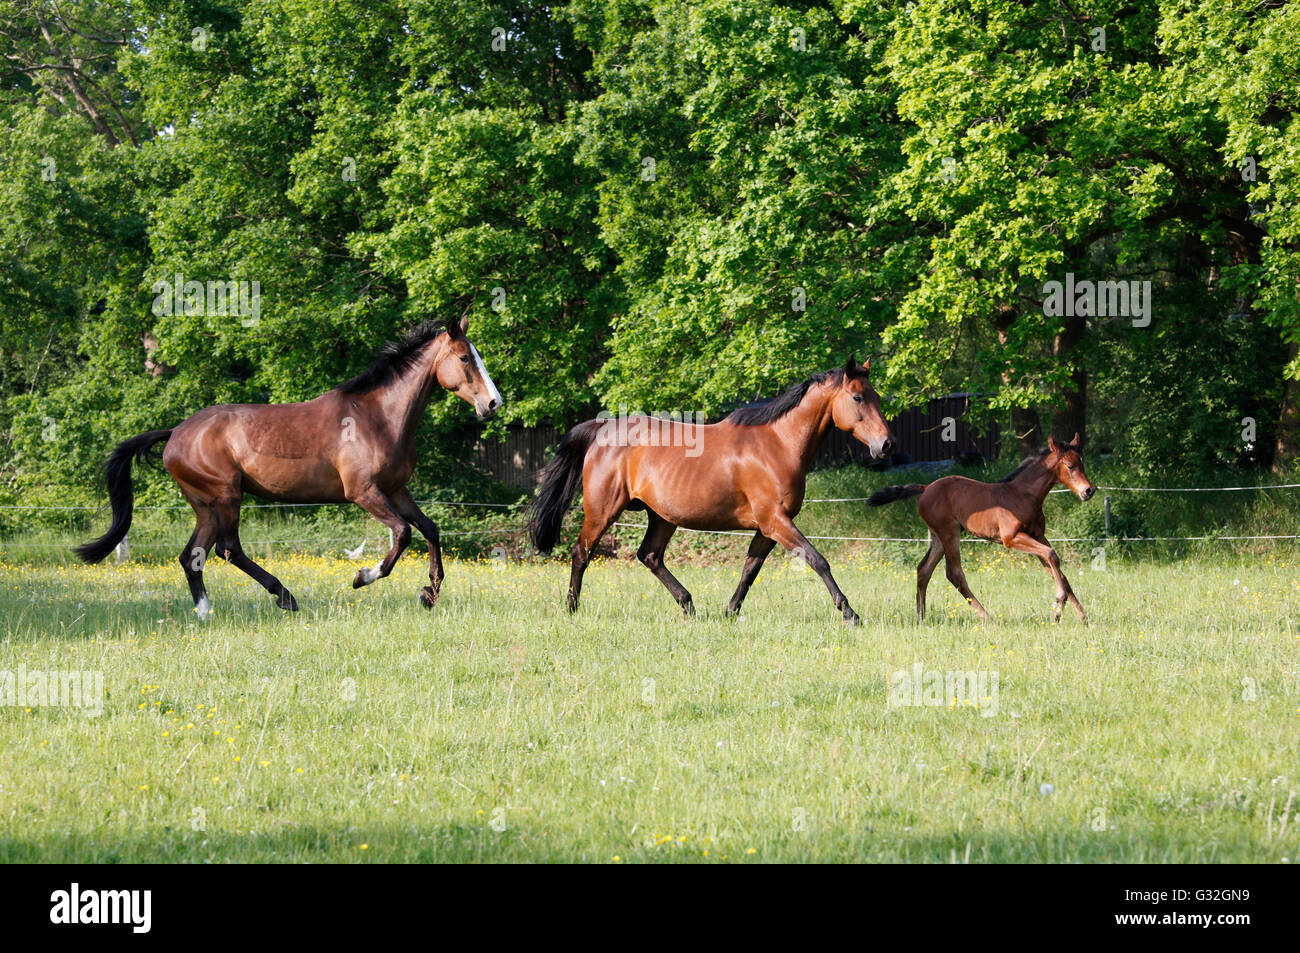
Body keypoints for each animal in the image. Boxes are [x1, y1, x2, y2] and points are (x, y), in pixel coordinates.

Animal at [74, 316, 502, 616]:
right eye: (465, 358)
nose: (493, 404)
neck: (378, 417)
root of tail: (177, 431)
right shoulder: (364, 492)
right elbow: (403, 533)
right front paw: (362, 577)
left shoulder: (397, 490)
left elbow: (429, 528)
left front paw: (429, 593)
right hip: (226, 496)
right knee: (228, 550)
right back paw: (285, 597)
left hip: (206, 504)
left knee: (192, 556)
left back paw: (205, 612)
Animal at [527, 358, 895, 625]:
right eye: (858, 397)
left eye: (877, 397)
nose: (886, 445)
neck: (777, 443)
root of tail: (602, 430)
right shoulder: (775, 521)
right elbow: (818, 560)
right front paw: (850, 614)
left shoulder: (768, 527)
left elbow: (750, 570)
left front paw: (730, 612)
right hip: (603, 511)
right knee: (581, 552)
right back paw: (572, 608)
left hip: (662, 517)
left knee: (649, 556)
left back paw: (688, 606)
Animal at [867, 435, 1095, 623]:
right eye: (1070, 465)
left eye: (1082, 463)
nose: (1089, 491)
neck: (1023, 495)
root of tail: (926, 488)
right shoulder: (1011, 538)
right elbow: (1051, 554)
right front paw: (1058, 607)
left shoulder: (1037, 535)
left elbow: (1058, 570)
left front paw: (1082, 617)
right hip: (949, 533)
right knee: (954, 573)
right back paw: (986, 617)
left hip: (938, 537)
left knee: (924, 569)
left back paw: (920, 617)